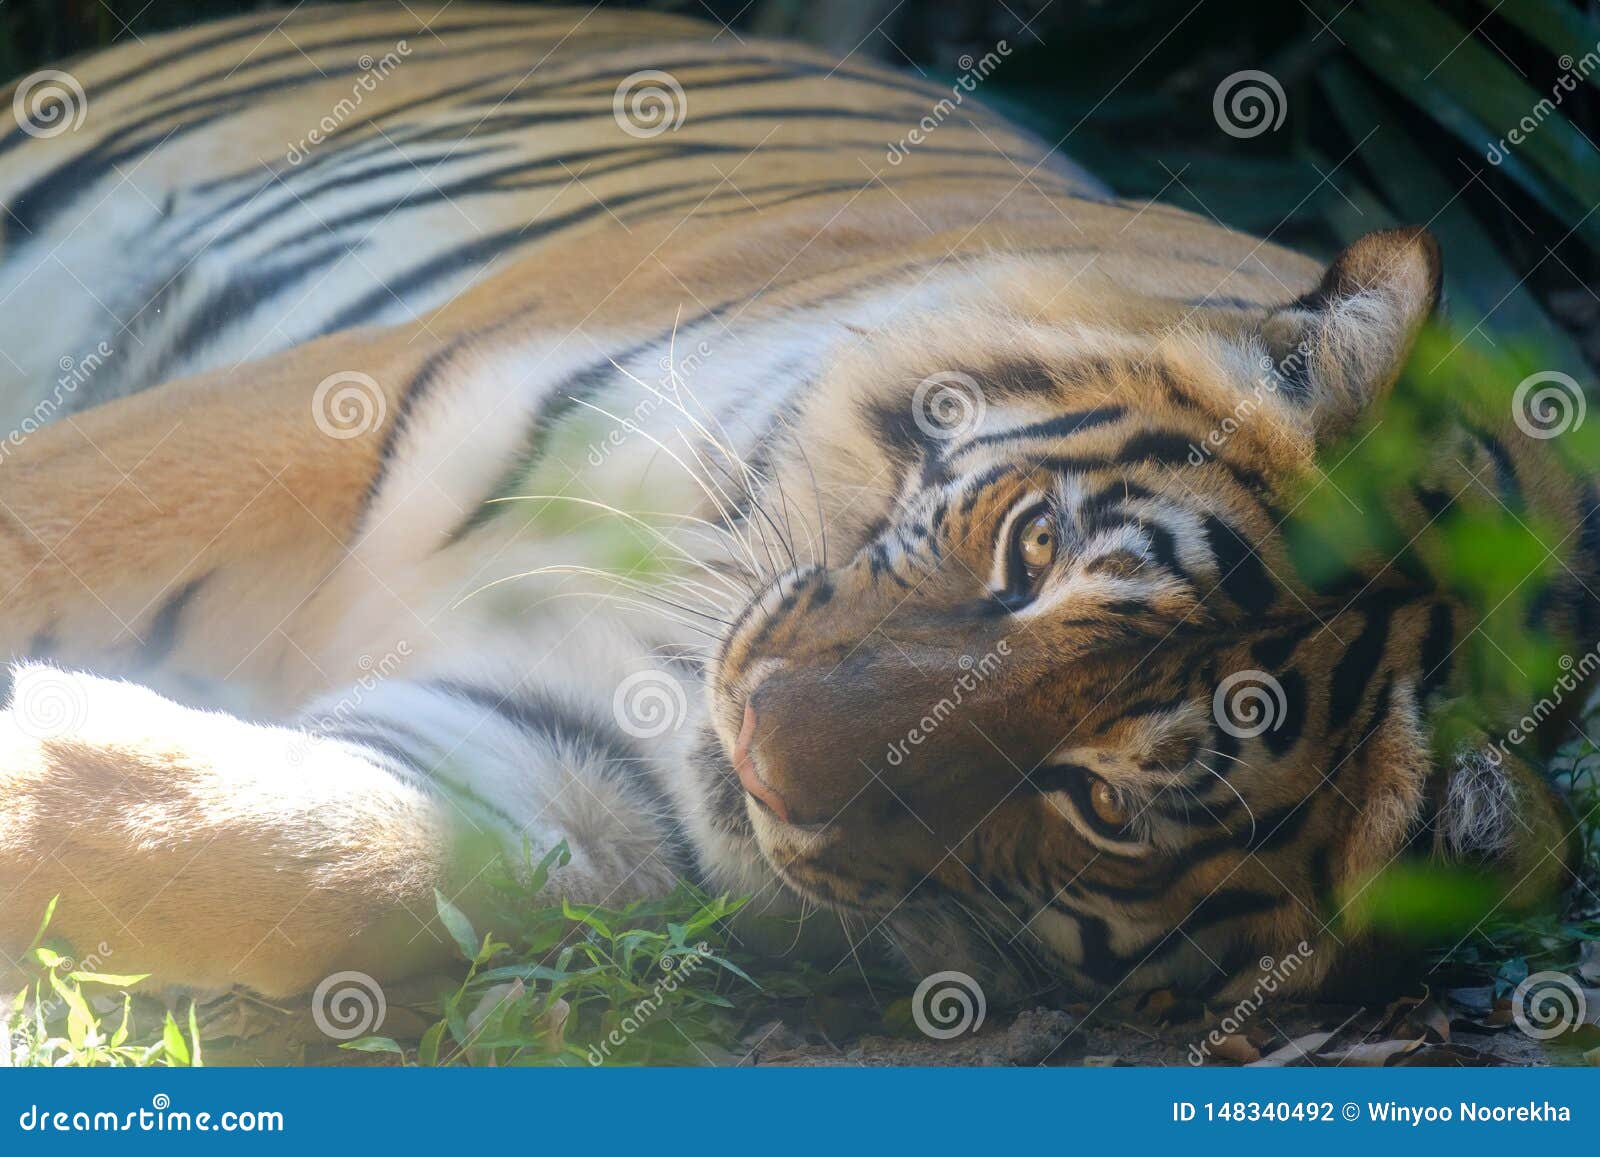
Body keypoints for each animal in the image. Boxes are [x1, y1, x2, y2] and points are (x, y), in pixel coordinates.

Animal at [0, 2, 1588, 1017]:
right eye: (1033, 547)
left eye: (1104, 803)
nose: (762, 747)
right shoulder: (337, 408)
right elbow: (54, 521)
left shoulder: (550, 784)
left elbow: (283, 841)